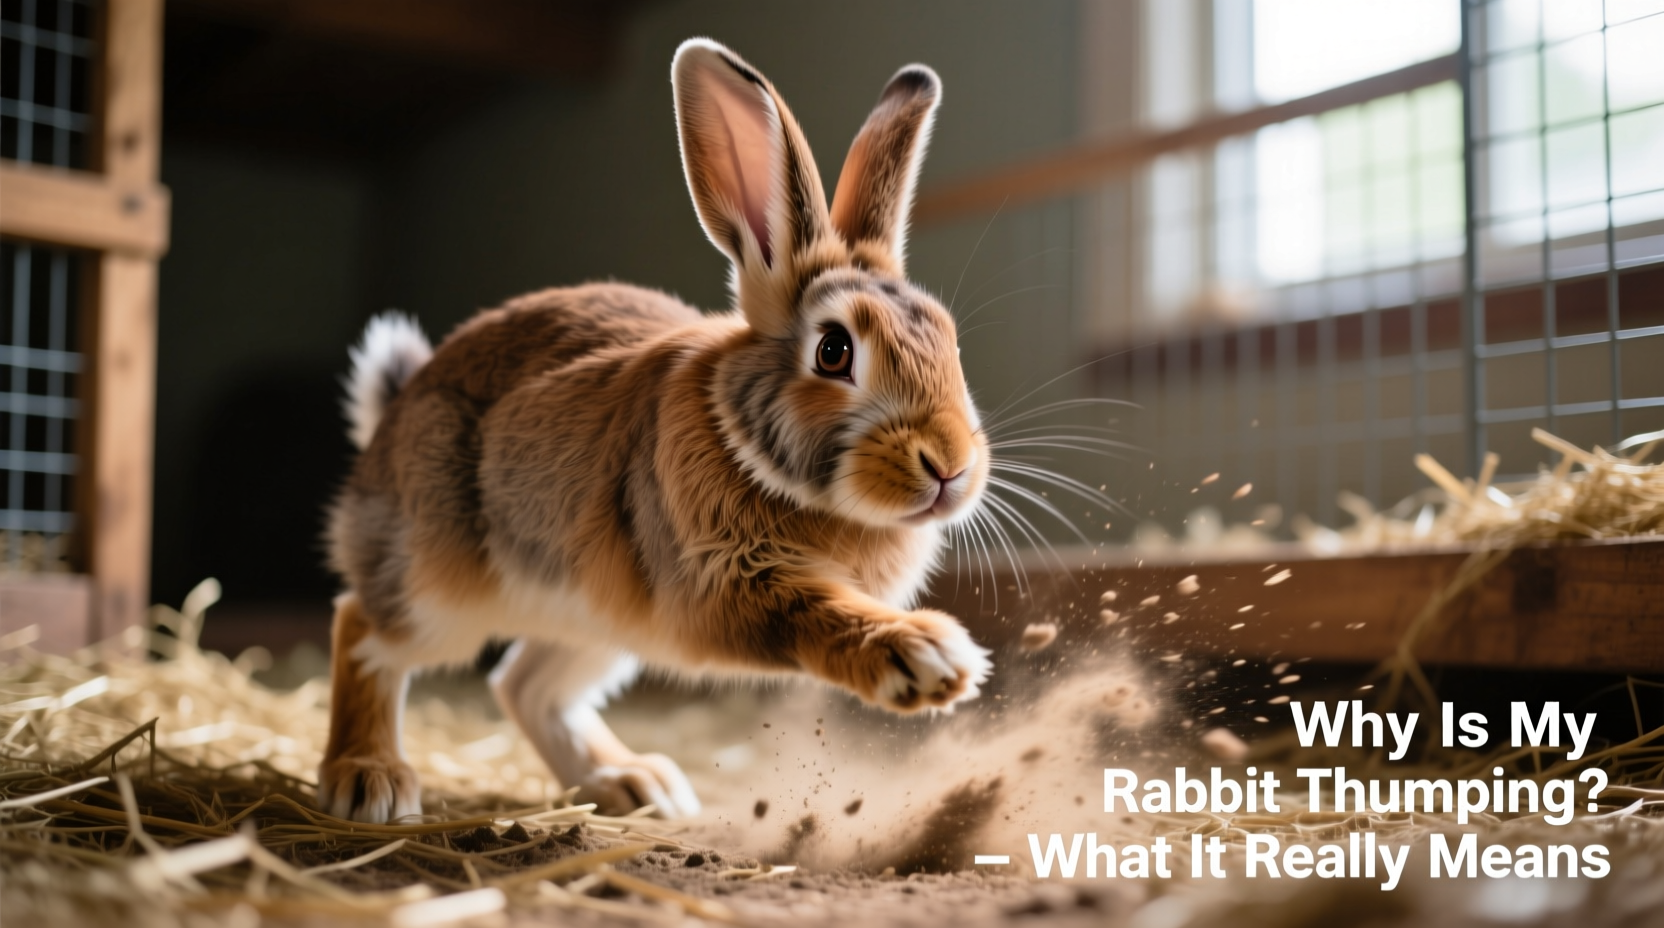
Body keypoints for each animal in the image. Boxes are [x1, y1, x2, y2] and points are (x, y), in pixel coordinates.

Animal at [317, 37, 994, 824]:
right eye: (834, 351)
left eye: (949, 341)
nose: (949, 466)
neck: (741, 438)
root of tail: (389, 421)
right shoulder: (721, 578)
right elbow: (809, 608)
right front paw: (926, 657)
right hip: (438, 587)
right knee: (363, 629)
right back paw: (368, 781)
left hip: (597, 622)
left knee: (523, 684)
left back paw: (635, 785)